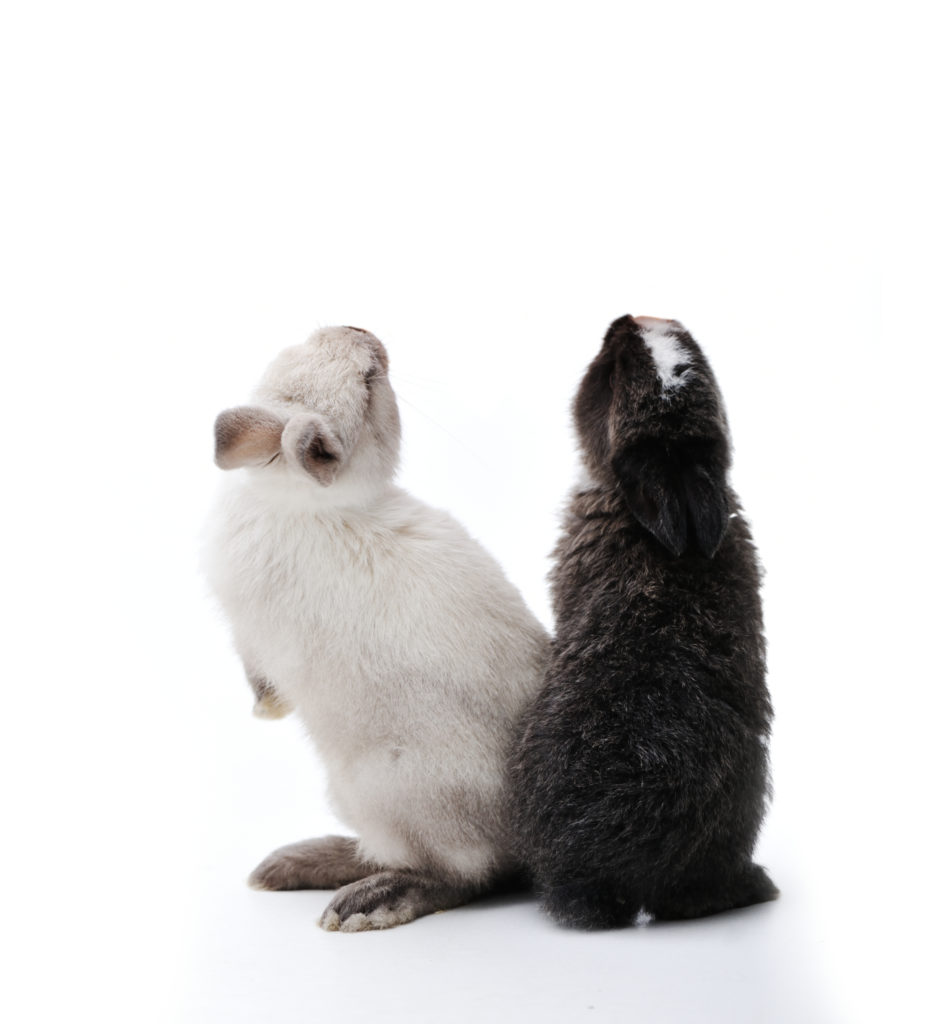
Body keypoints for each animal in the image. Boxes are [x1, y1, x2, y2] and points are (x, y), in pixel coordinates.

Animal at [203, 325, 549, 931]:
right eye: (369, 383)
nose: (359, 330)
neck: (295, 498)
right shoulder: (247, 636)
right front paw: (268, 709)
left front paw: (268, 710)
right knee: (465, 873)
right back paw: (315, 874)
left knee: (471, 872)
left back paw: (359, 895)